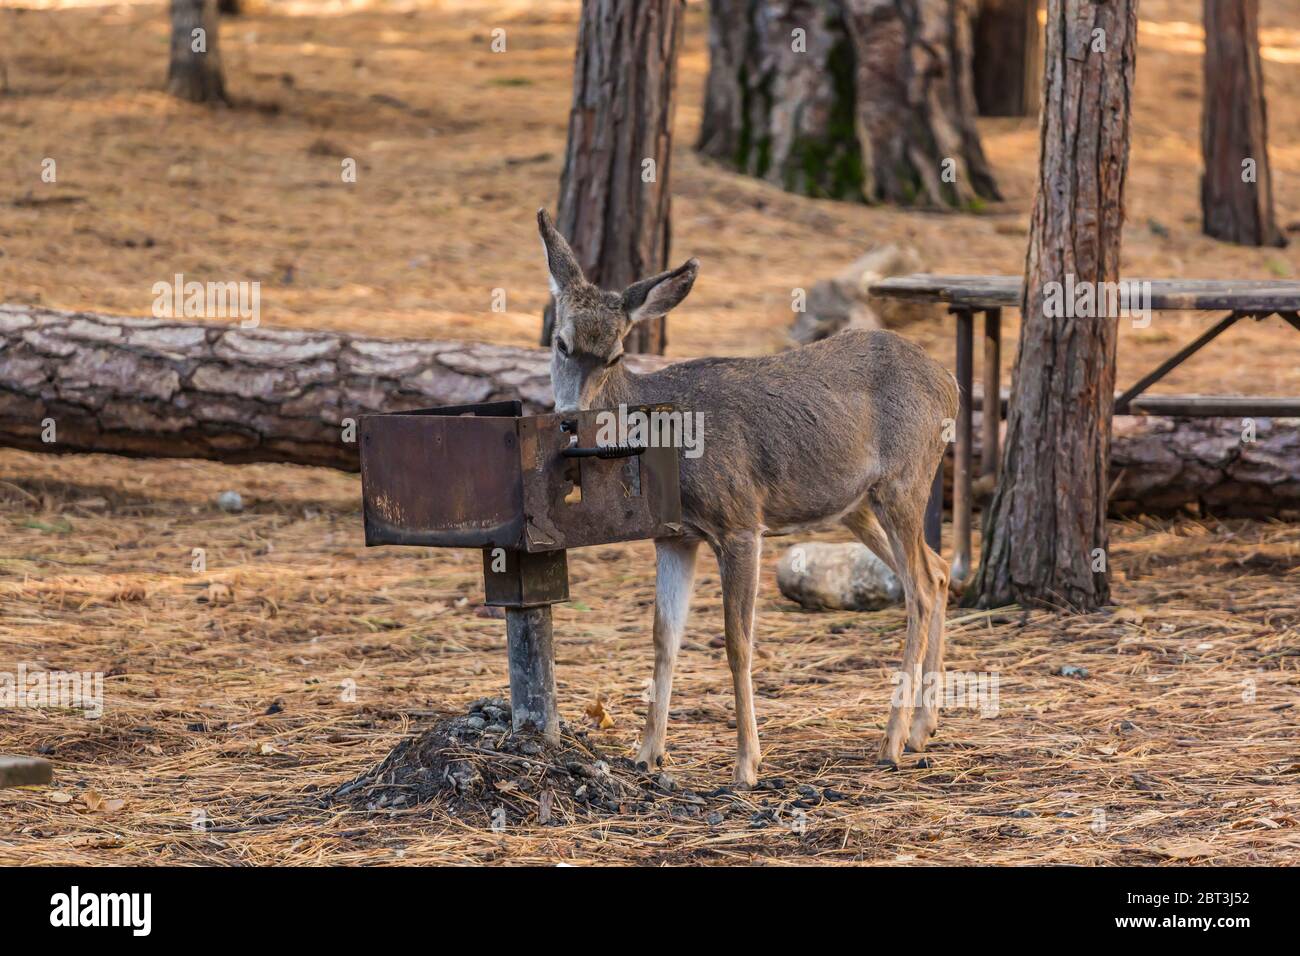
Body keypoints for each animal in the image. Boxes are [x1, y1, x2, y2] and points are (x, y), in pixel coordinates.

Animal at [538, 209, 957, 786]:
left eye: (616, 354)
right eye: (560, 342)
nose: (569, 420)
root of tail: (950, 384)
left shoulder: (739, 521)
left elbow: (738, 644)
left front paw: (746, 765)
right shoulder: (674, 538)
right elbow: (663, 638)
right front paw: (647, 754)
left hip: (904, 479)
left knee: (918, 587)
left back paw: (892, 740)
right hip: (857, 505)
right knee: (937, 571)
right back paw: (923, 728)